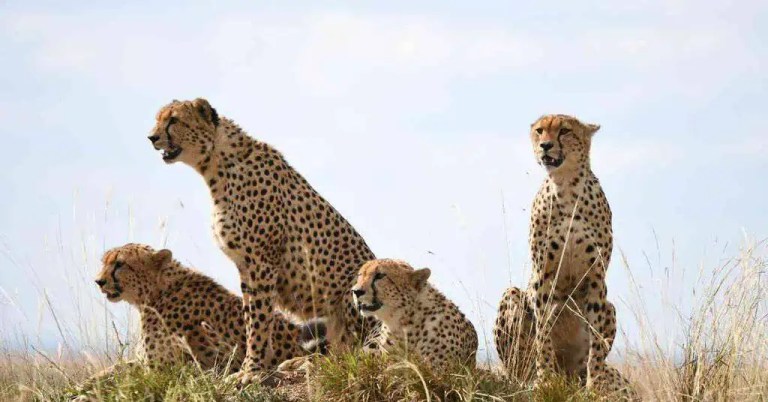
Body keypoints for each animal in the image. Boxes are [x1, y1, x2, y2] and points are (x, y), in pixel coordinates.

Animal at [147, 98, 377, 384]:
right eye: (158, 119)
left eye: (174, 120)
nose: (151, 137)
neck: (217, 165)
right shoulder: (245, 266)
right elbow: (253, 318)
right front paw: (258, 365)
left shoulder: (261, 262)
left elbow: (259, 320)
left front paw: (252, 371)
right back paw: (297, 361)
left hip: (353, 293)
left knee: (356, 353)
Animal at [493, 114, 636, 399]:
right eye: (540, 131)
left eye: (565, 131)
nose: (545, 145)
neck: (566, 184)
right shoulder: (543, 276)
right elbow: (544, 334)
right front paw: (545, 380)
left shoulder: (595, 277)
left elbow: (596, 346)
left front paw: (594, 385)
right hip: (512, 296)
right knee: (518, 368)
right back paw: (528, 380)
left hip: (610, 308)